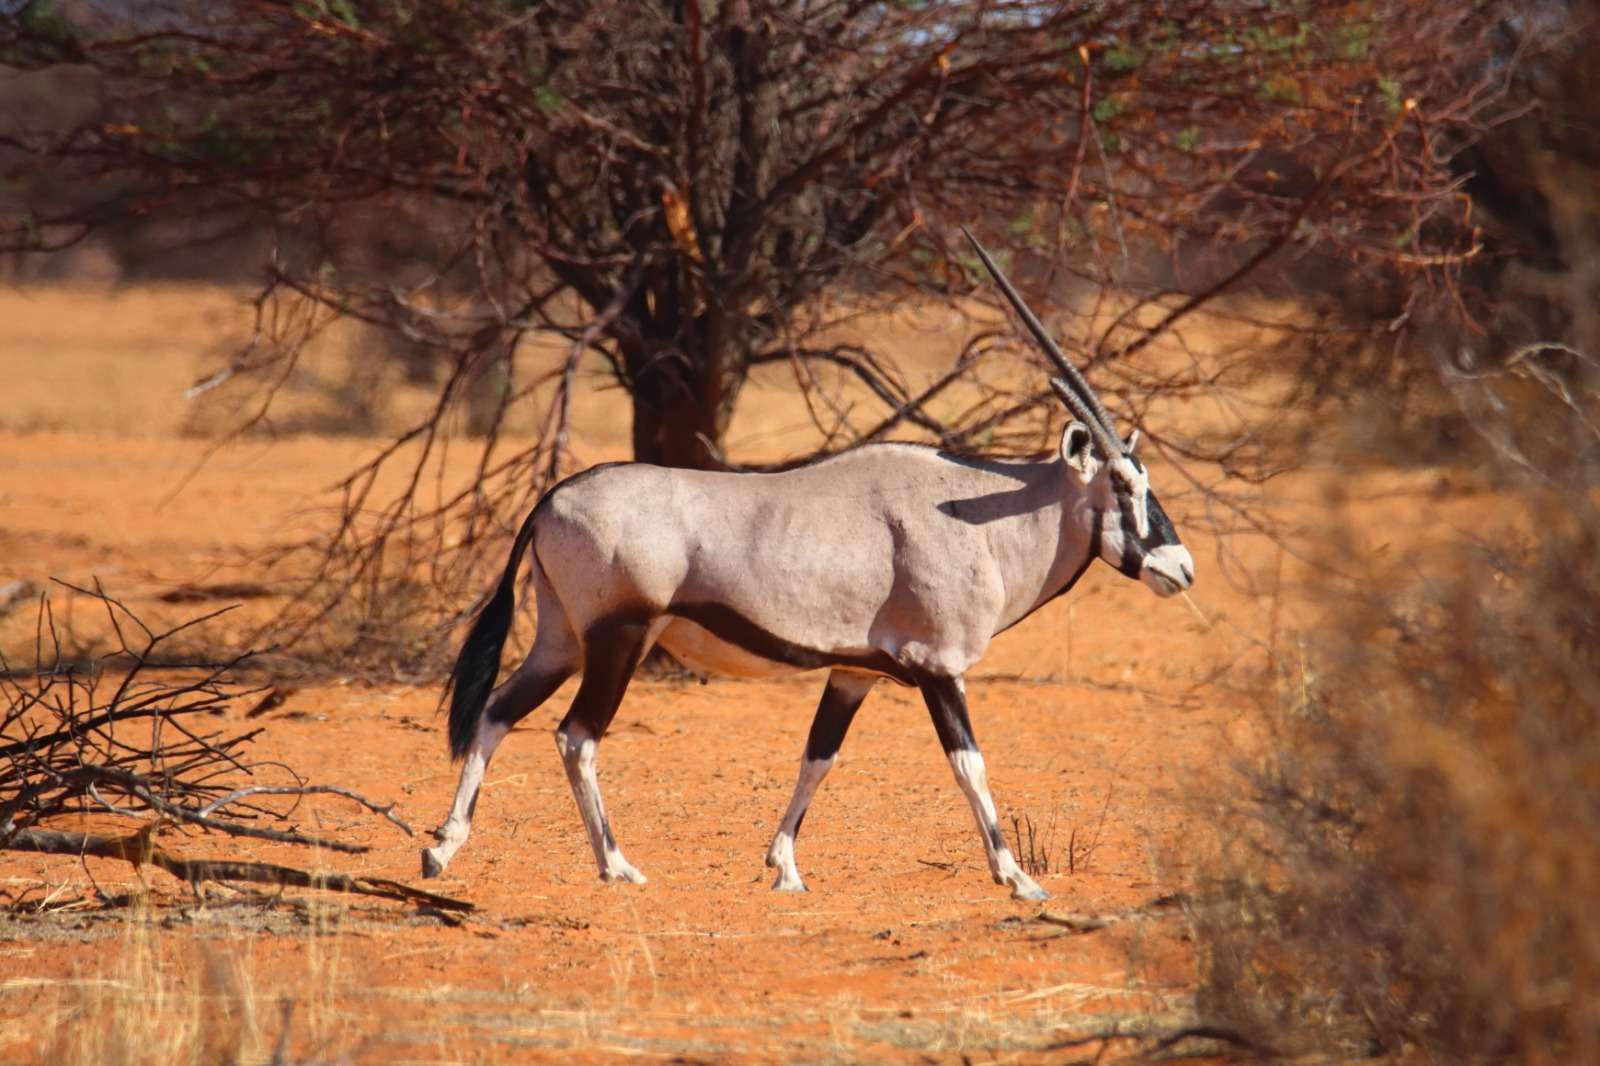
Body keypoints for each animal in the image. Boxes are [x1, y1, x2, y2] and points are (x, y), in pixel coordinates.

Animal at [422, 229, 1194, 900]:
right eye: (1123, 484)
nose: (1181, 569)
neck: (978, 514)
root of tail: (555, 496)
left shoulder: (855, 673)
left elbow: (818, 757)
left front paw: (784, 867)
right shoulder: (940, 668)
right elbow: (970, 766)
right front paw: (1018, 878)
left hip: (561, 640)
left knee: (498, 710)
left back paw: (443, 847)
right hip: (619, 639)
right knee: (576, 736)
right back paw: (615, 865)